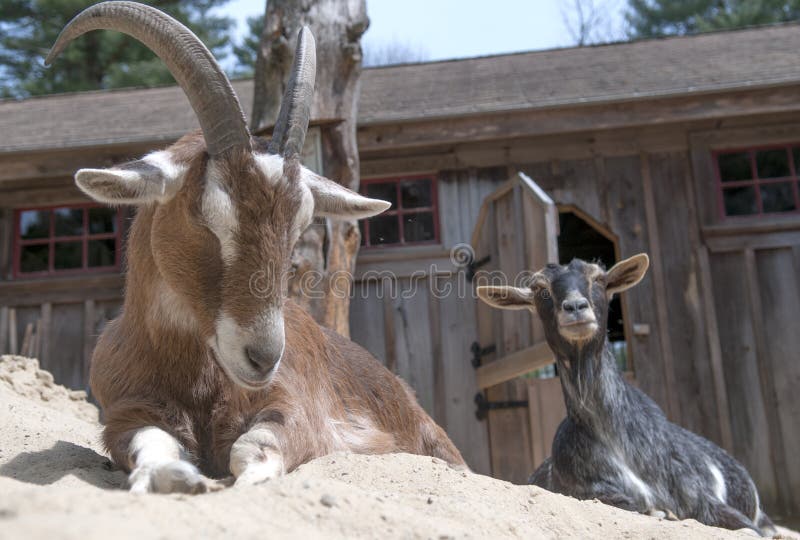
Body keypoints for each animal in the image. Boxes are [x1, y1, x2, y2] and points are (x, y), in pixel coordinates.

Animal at [47, 2, 465, 494]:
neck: (198, 376)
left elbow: (253, 447)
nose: (263, 358)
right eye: (205, 215)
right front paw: (176, 477)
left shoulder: (296, 413)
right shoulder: (125, 414)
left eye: (299, 223)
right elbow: (149, 444)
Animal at [477, 254, 776, 536]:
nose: (575, 307)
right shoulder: (594, 491)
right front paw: (662, 514)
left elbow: (748, 528)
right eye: (540, 289)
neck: (615, 439)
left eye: (599, 279)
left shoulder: (701, 498)